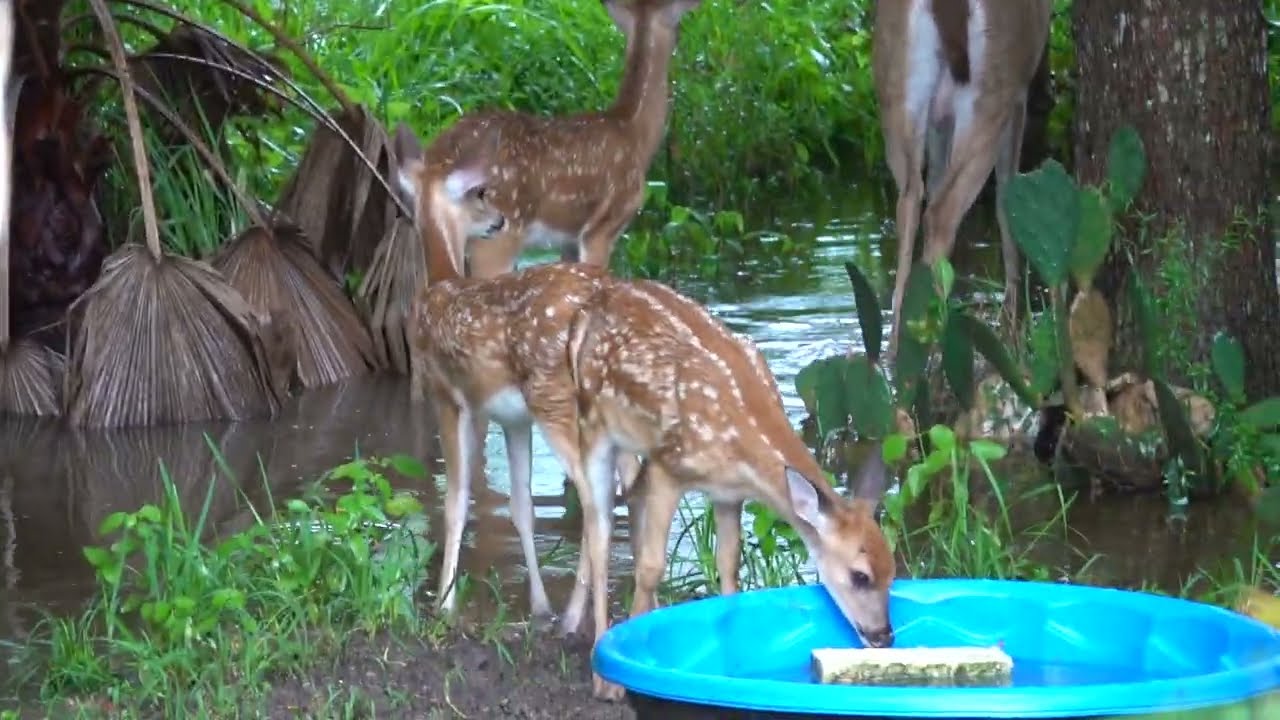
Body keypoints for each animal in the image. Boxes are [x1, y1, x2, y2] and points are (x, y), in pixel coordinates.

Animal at [392, 122, 616, 627]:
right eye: (479, 193)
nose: (496, 220)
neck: (441, 281)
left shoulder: (448, 397)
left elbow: (456, 501)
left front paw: (444, 602)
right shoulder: (512, 419)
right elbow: (520, 506)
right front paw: (538, 604)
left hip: (557, 401)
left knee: (597, 508)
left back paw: (584, 621)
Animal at [565, 277, 897, 701]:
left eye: (893, 572)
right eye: (860, 576)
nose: (884, 636)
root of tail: (592, 302)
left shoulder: (727, 493)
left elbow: (729, 564)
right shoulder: (671, 467)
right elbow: (652, 566)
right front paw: (618, 680)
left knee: (626, 502)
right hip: (592, 423)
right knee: (599, 528)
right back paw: (601, 664)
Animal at [873, 0, 1052, 358]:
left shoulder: (940, 120)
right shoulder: (1019, 96)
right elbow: (1007, 199)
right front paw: (1014, 329)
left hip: (896, 93)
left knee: (910, 202)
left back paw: (896, 353)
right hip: (991, 92)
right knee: (942, 213)